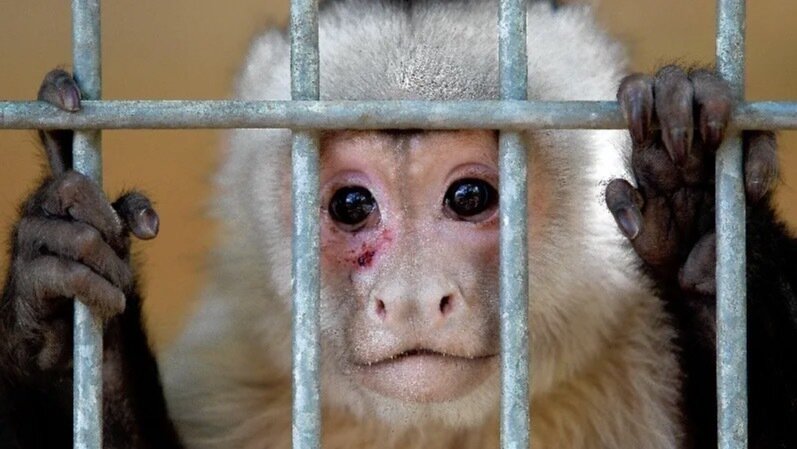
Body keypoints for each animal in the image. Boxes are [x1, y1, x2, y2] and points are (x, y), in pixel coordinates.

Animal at [0, 0, 795, 448]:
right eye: (352, 206)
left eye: (469, 197)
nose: (411, 297)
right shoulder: (232, 385)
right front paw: (60, 320)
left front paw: (700, 216)